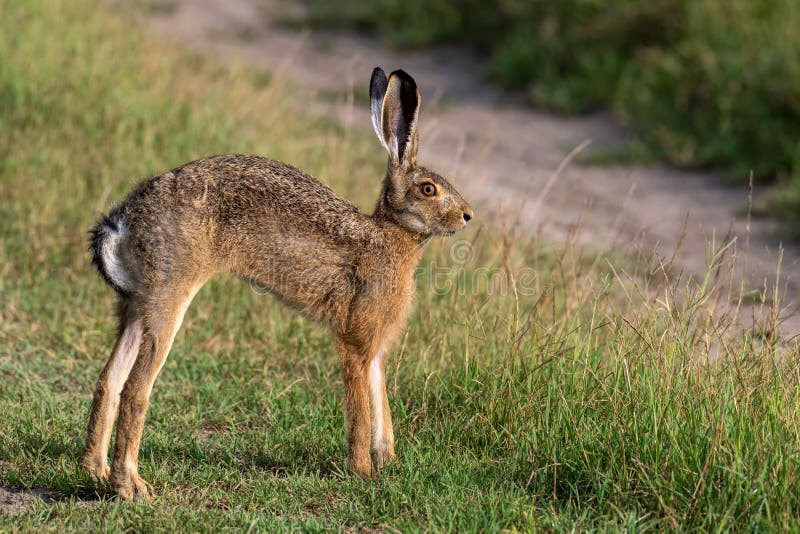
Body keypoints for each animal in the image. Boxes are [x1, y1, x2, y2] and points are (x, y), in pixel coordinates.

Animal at [81, 67, 473, 501]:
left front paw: (387, 462)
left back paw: (96, 471)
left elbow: (380, 402)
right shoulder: (355, 341)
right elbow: (360, 409)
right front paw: (363, 472)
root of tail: (123, 220)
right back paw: (131, 486)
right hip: (169, 295)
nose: (467, 215)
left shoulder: (376, 350)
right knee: (136, 389)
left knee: (109, 380)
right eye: (428, 189)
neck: (390, 235)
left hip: (137, 304)